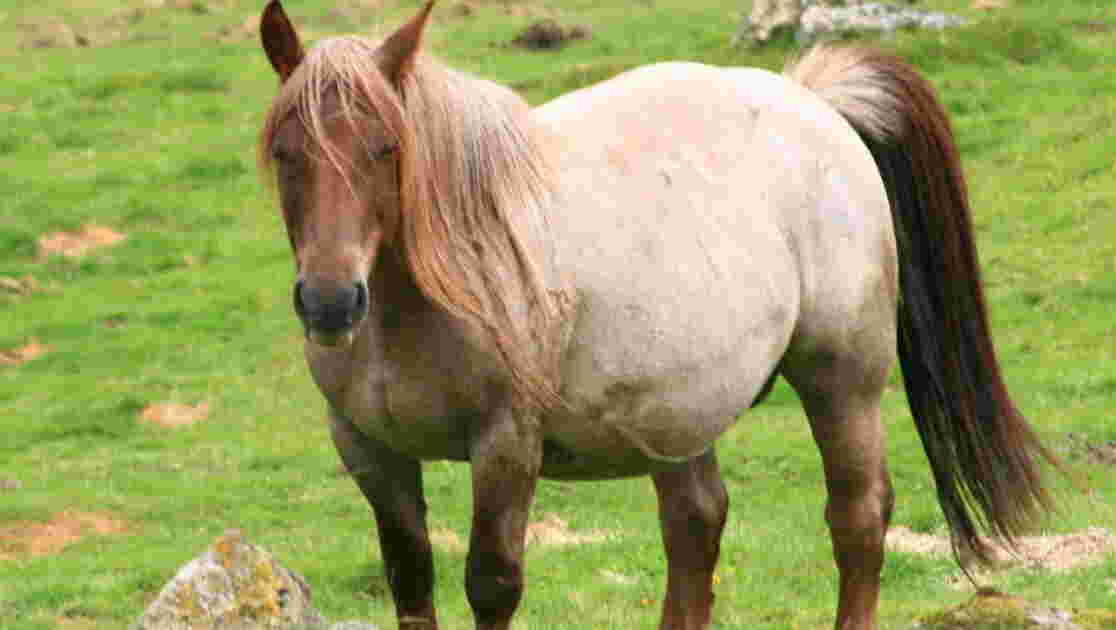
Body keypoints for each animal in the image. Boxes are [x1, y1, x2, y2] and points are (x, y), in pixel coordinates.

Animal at [257, 2, 1055, 628]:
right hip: (678, 413)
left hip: (842, 382)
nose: (331, 302)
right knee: (696, 525)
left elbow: (491, 585)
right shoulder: (370, 451)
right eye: (286, 152)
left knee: (857, 520)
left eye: (387, 147)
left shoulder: (506, 445)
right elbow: (411, 583)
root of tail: (815, 101)